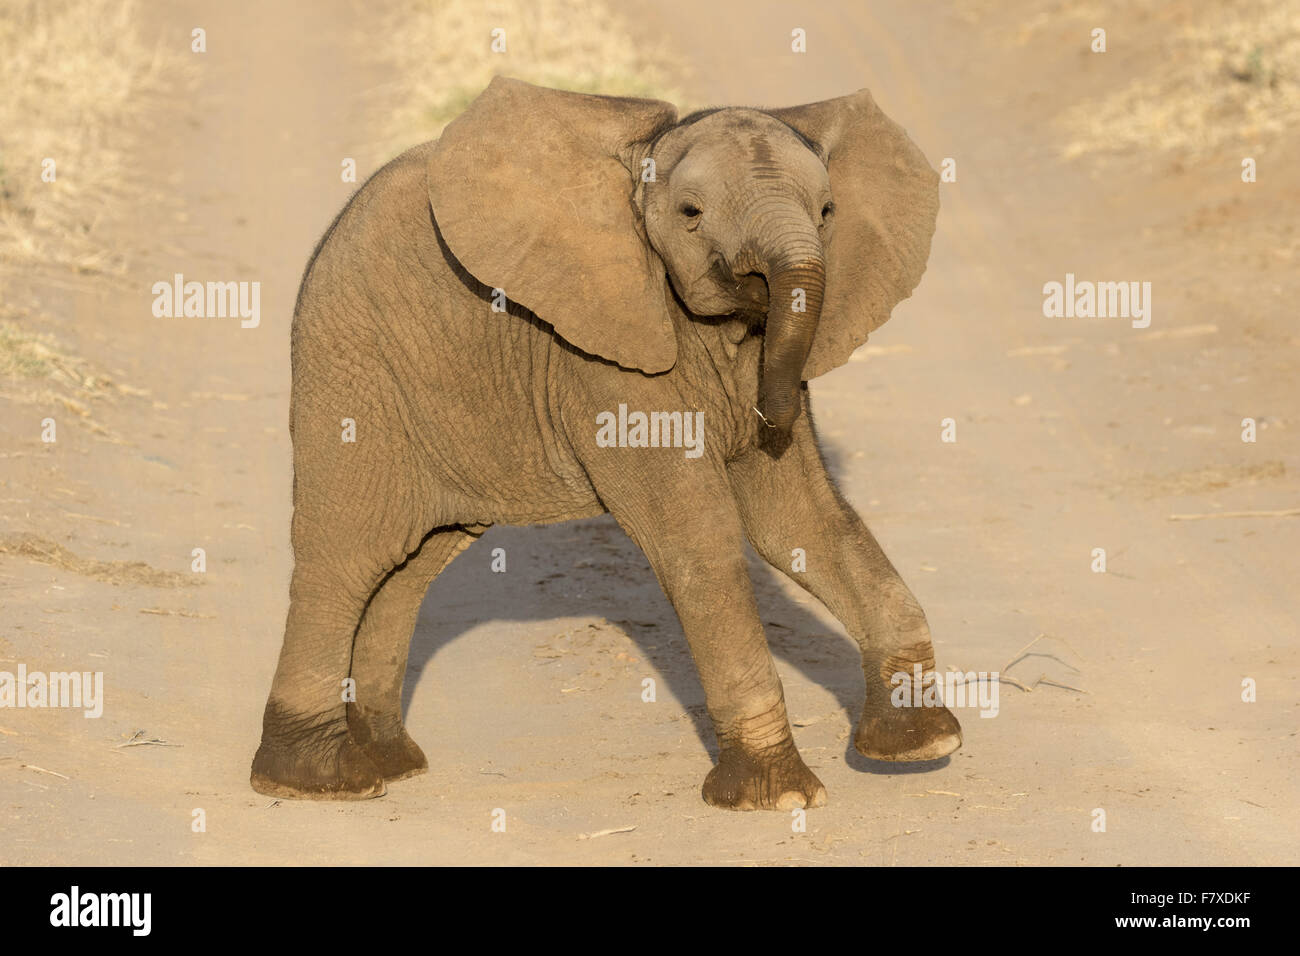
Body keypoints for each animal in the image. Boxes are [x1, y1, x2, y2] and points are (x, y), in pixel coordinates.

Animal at [251, 75, 961, 811]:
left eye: (827, 211)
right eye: (690, 213)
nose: (771, 416)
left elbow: (802, 521)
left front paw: (922, 745)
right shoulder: (602, 351)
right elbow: (697, 534)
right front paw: (780, 797)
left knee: (411, 567)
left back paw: (388, 760)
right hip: (351, 378)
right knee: (346, 560)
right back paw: (322, 780)